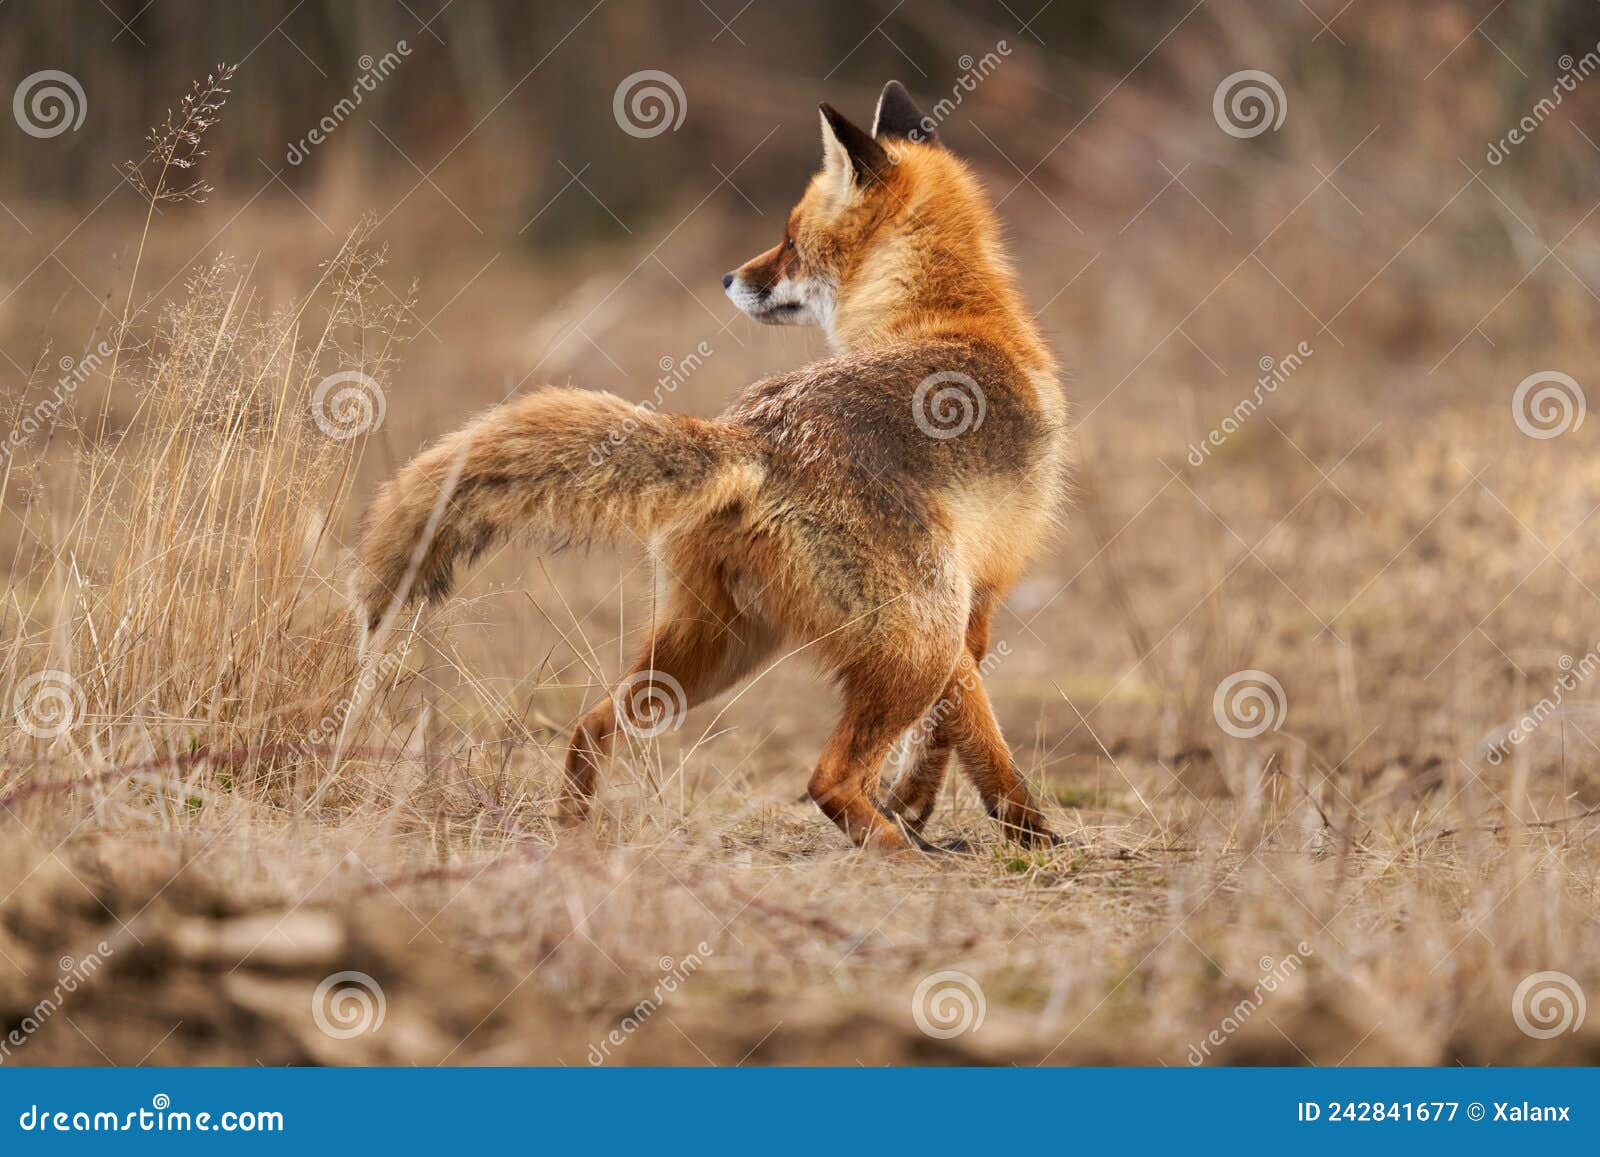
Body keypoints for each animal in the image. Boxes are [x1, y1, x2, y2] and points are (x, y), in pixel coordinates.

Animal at [354, 81, 1072, 853]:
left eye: (788, 242)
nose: (729, 276)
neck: (950, 313)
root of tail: (752, 435)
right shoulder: (977, 603)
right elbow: (975, 733)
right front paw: (1023, 828)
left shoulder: (973, 608)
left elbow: (942, 738)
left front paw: (924, 808)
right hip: (910, 637)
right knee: (826, 779)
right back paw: (894, 853)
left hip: (717, 650)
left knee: (589, 723)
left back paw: (575, 832)